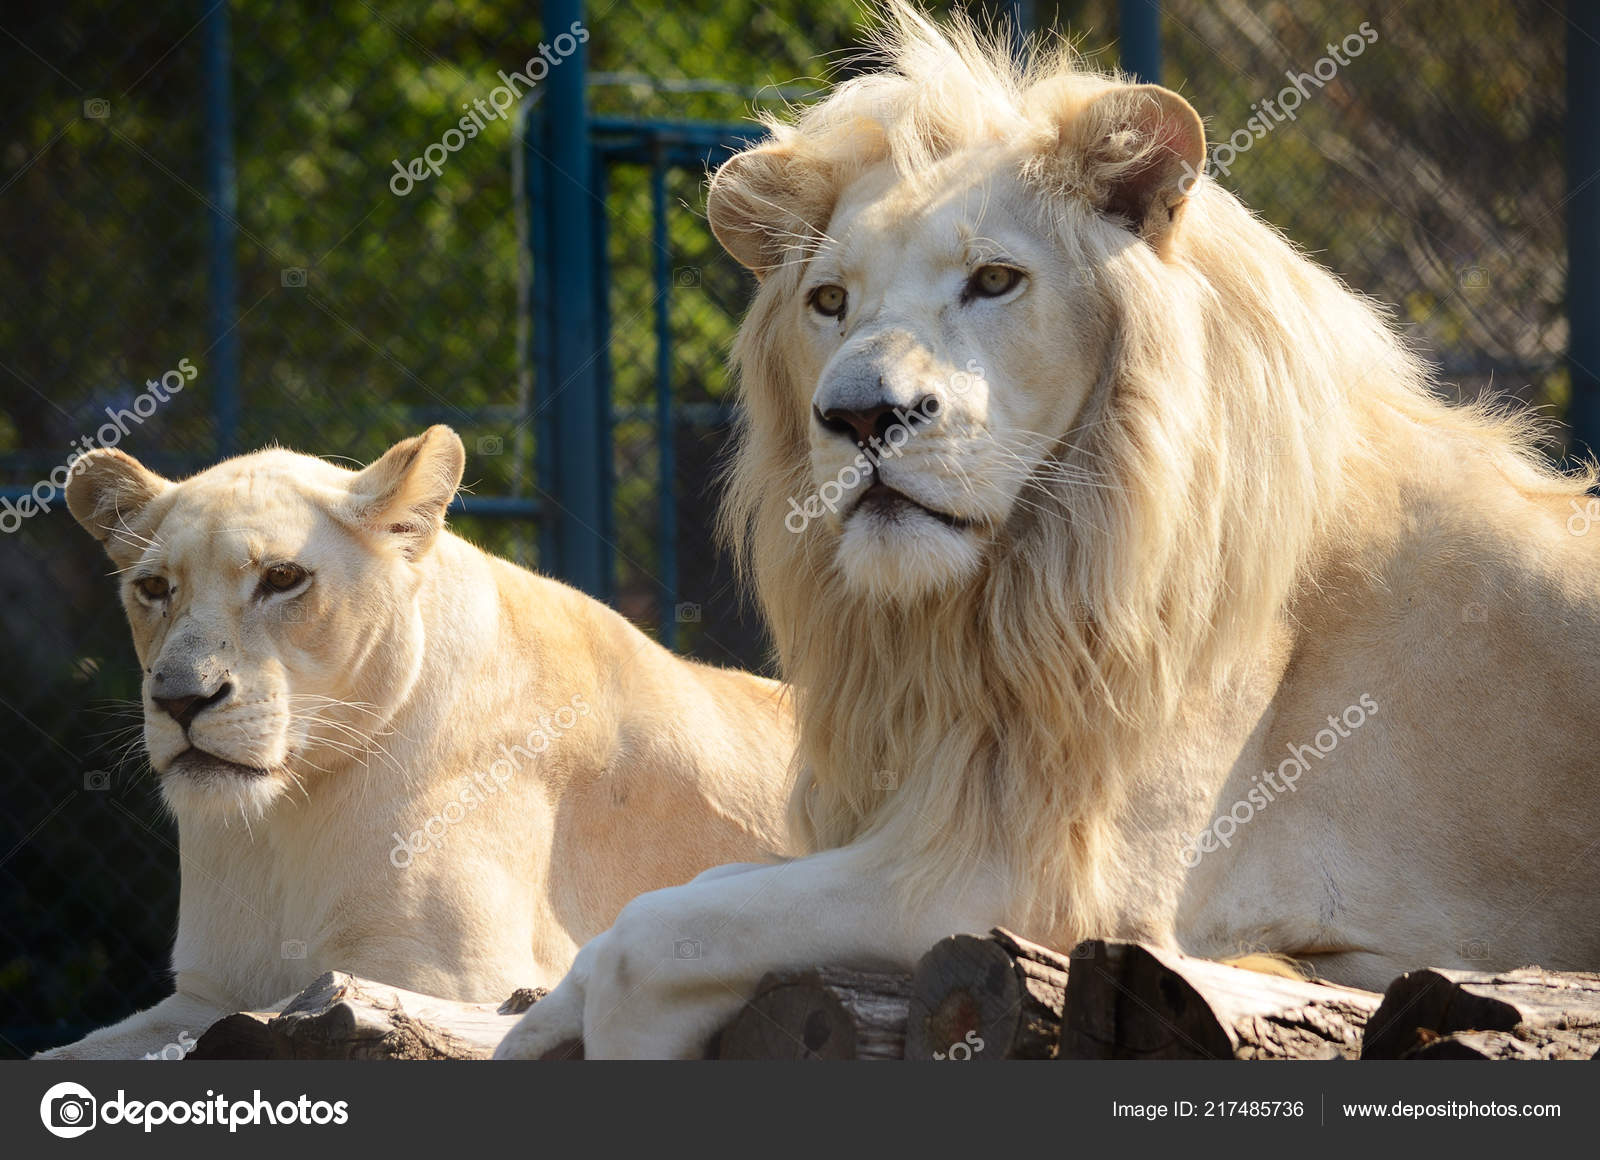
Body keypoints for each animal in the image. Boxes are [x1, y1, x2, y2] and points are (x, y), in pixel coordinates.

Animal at [39, 426, 794, 1059]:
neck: (287, 816)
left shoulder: (445, 982)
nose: (178, 699)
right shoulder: (208, 991)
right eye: (154, 587)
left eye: (282, 578)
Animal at [495, 3, 1600, 1060]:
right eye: (829, 300)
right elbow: (678, 895)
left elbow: (663, 926)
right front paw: (534, 1022)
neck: (993, 605)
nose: (860, 415)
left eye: (994, 280)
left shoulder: (1048, 883)